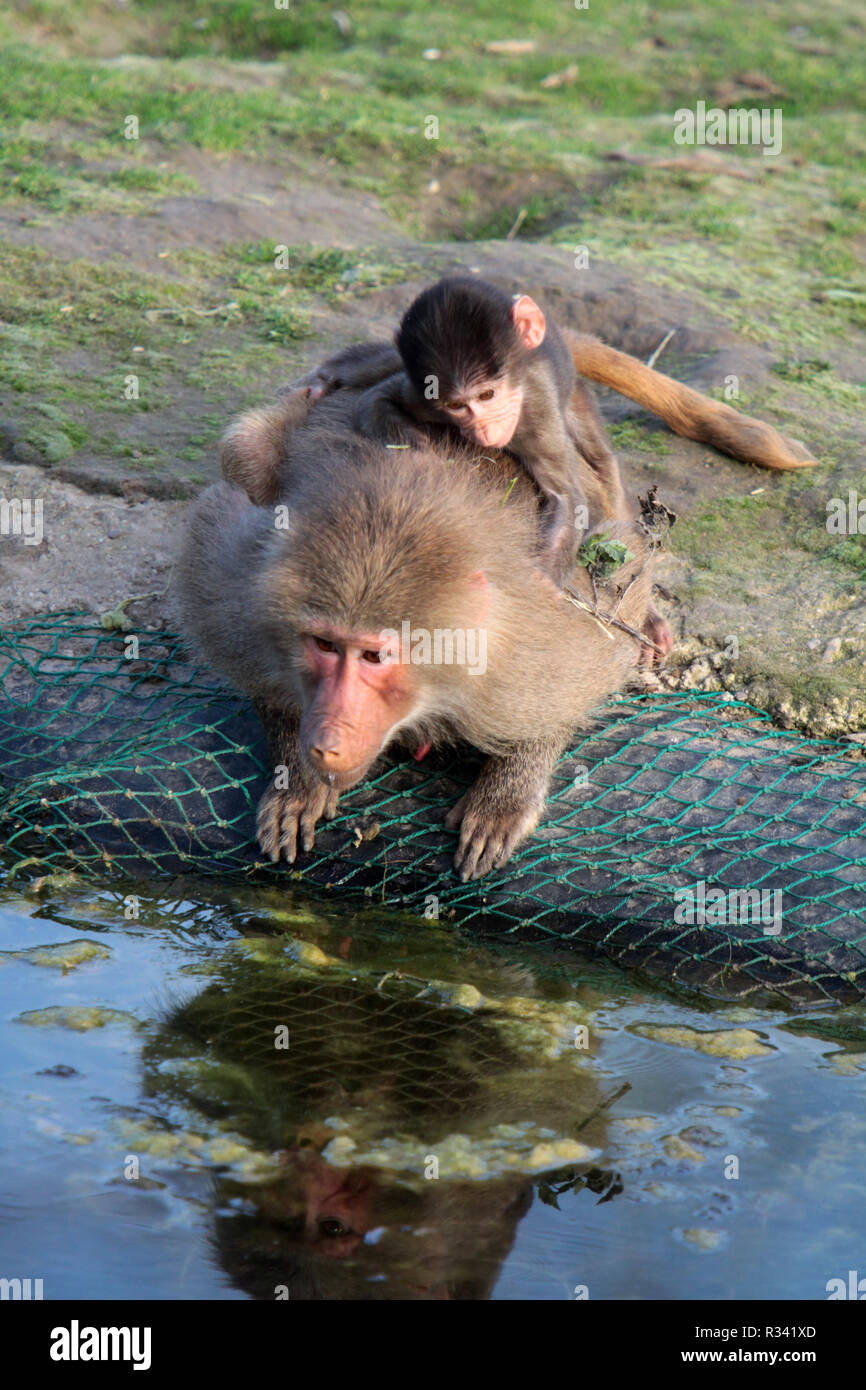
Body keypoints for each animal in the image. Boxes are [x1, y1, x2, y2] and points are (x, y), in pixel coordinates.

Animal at [179, 386, 656, 882]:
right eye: (326, 645)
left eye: (374, 657)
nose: (327, 745)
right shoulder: (245, 586)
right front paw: (296, 778)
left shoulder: (538, 622)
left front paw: (504, 798)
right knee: (245, 453)